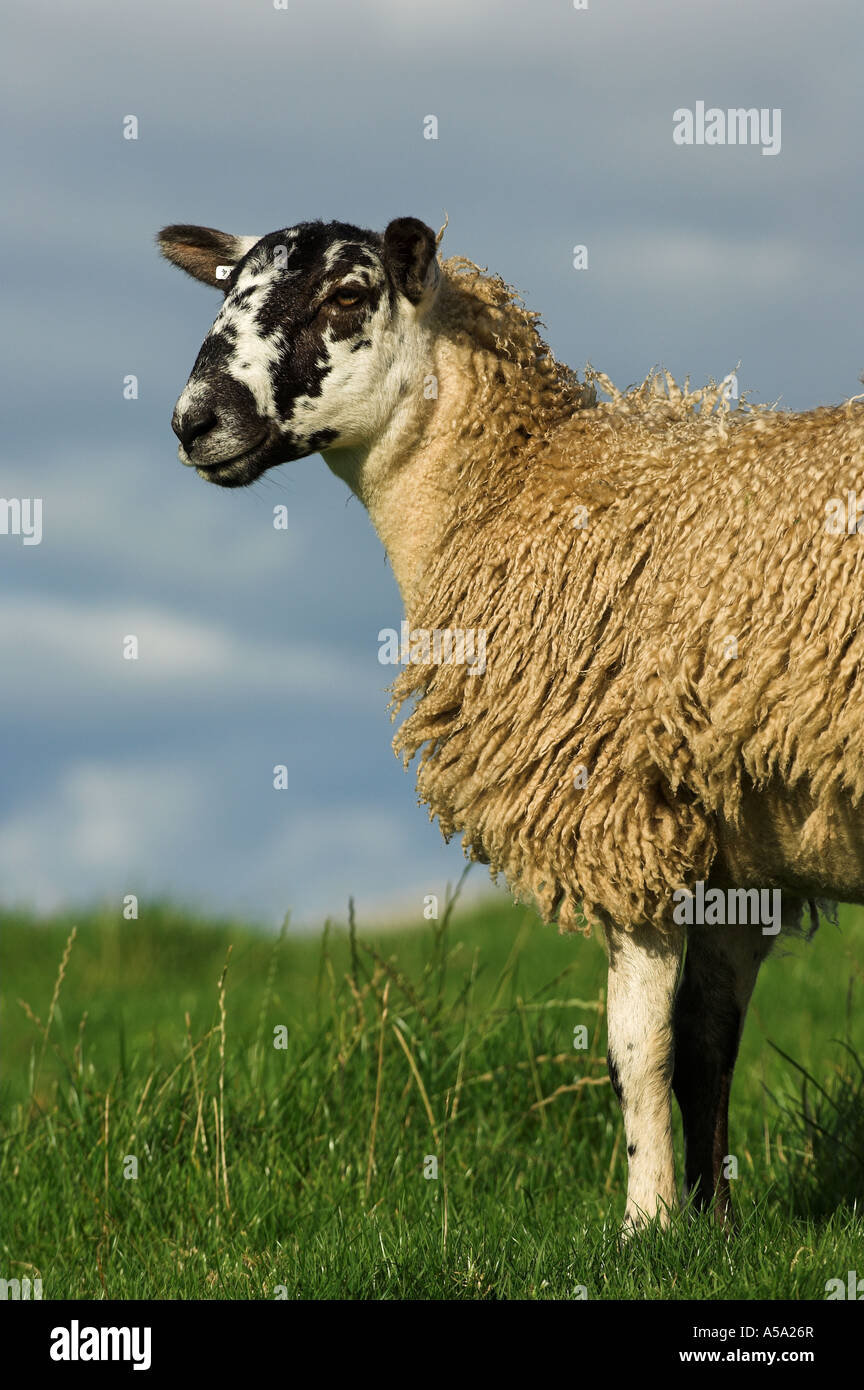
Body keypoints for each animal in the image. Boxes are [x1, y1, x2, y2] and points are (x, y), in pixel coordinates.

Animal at [159, 215, 864, 1230]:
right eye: (224, 290)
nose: (194, 422)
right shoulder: (740, 845)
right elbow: (705, 1046)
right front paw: (716, 1225)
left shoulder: (615, 808)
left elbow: (636, 1051)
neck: (511, 490)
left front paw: (646, 1229)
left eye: (346, 295)